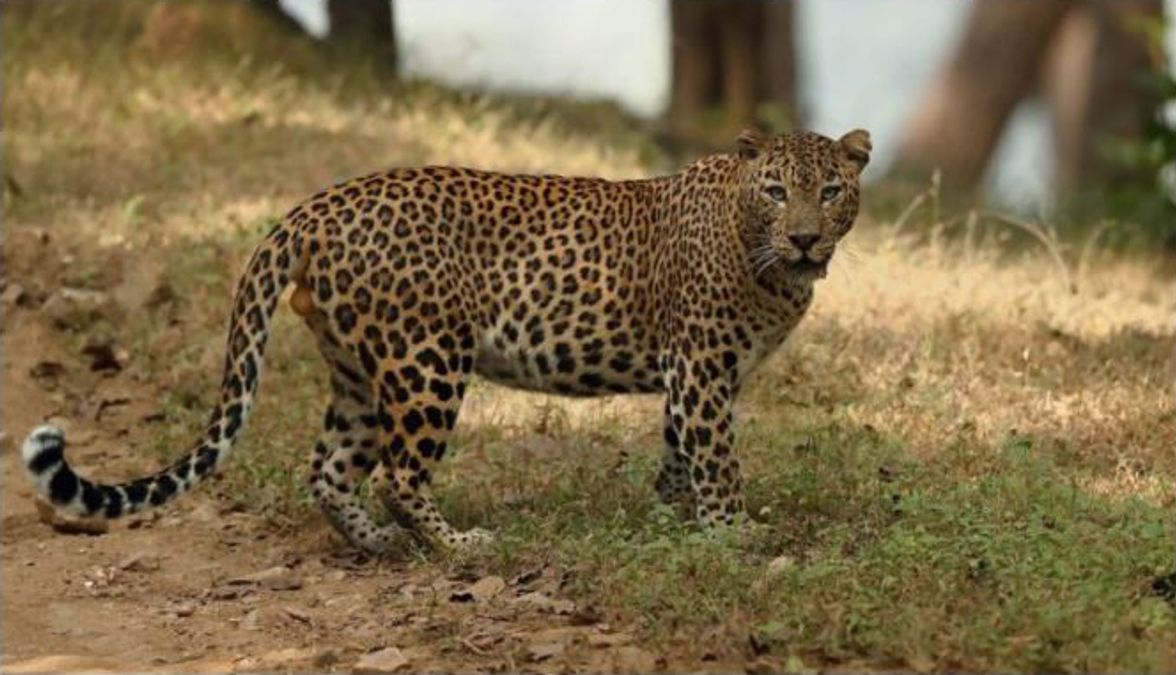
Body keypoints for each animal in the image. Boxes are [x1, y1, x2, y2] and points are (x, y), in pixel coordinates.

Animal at [22, 128, 871, 552]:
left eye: (831, 190)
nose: (804, 238)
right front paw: (732, 535)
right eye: (777, 191)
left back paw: (377, 544)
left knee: (329, 469)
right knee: (399, 473)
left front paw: (674, 520)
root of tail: (310, 208)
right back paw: (459, 544)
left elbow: (679, 455)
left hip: (359, 372)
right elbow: (718, 460)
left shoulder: (695, 379)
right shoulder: (698, 368)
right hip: (426, 359)